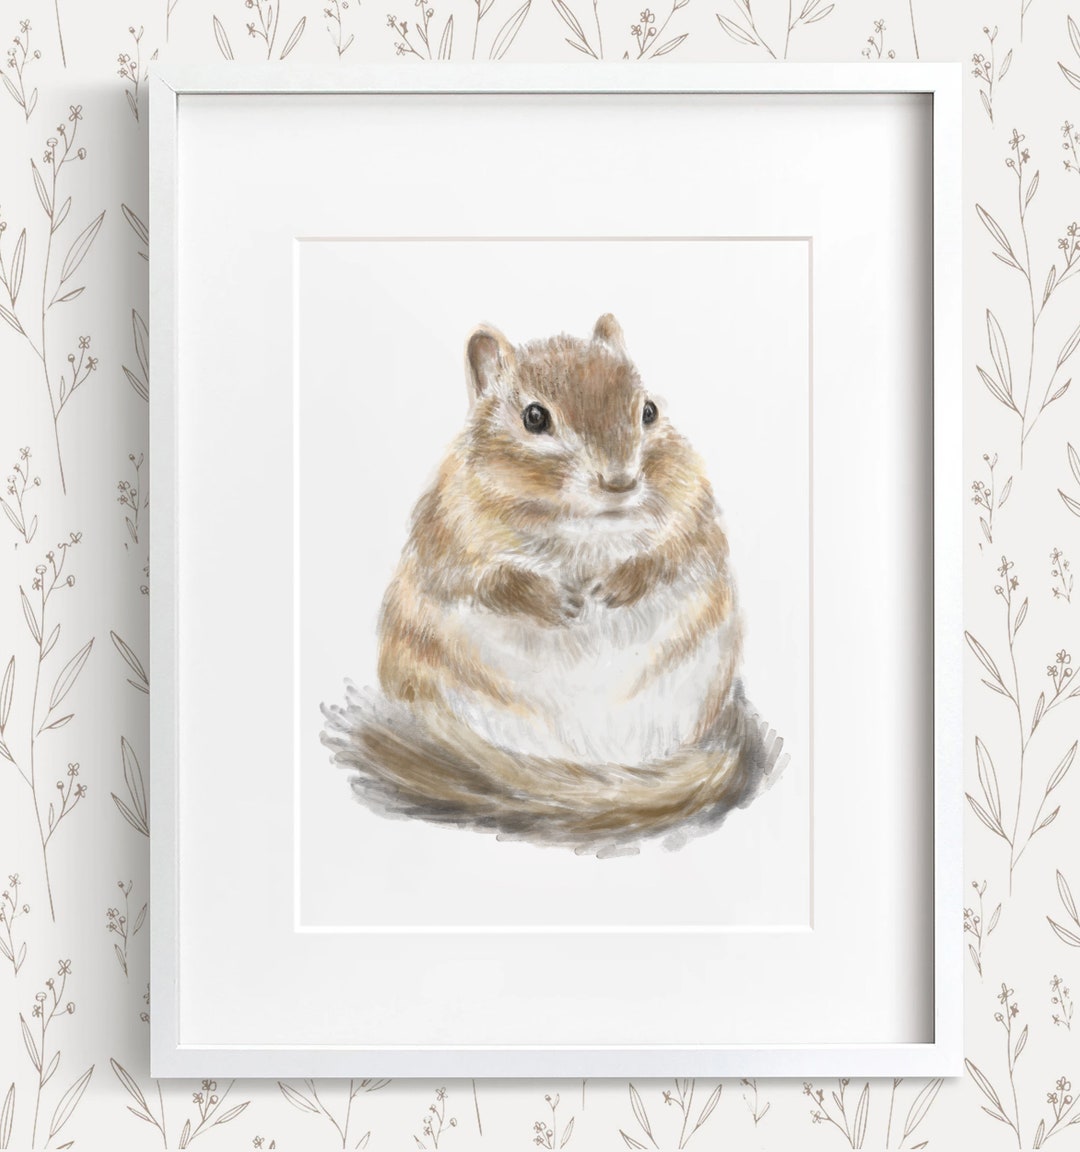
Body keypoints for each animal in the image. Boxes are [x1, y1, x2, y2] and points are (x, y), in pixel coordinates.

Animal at [323, 315, 784, 853]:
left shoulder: (694, 515)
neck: (583, 525)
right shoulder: (451, 536)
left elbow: (672, 555)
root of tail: (588, 763)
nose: (620, 482)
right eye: (534, 418)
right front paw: (554, 600)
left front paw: (616, 585)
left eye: (648, 411)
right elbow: (489, 581)